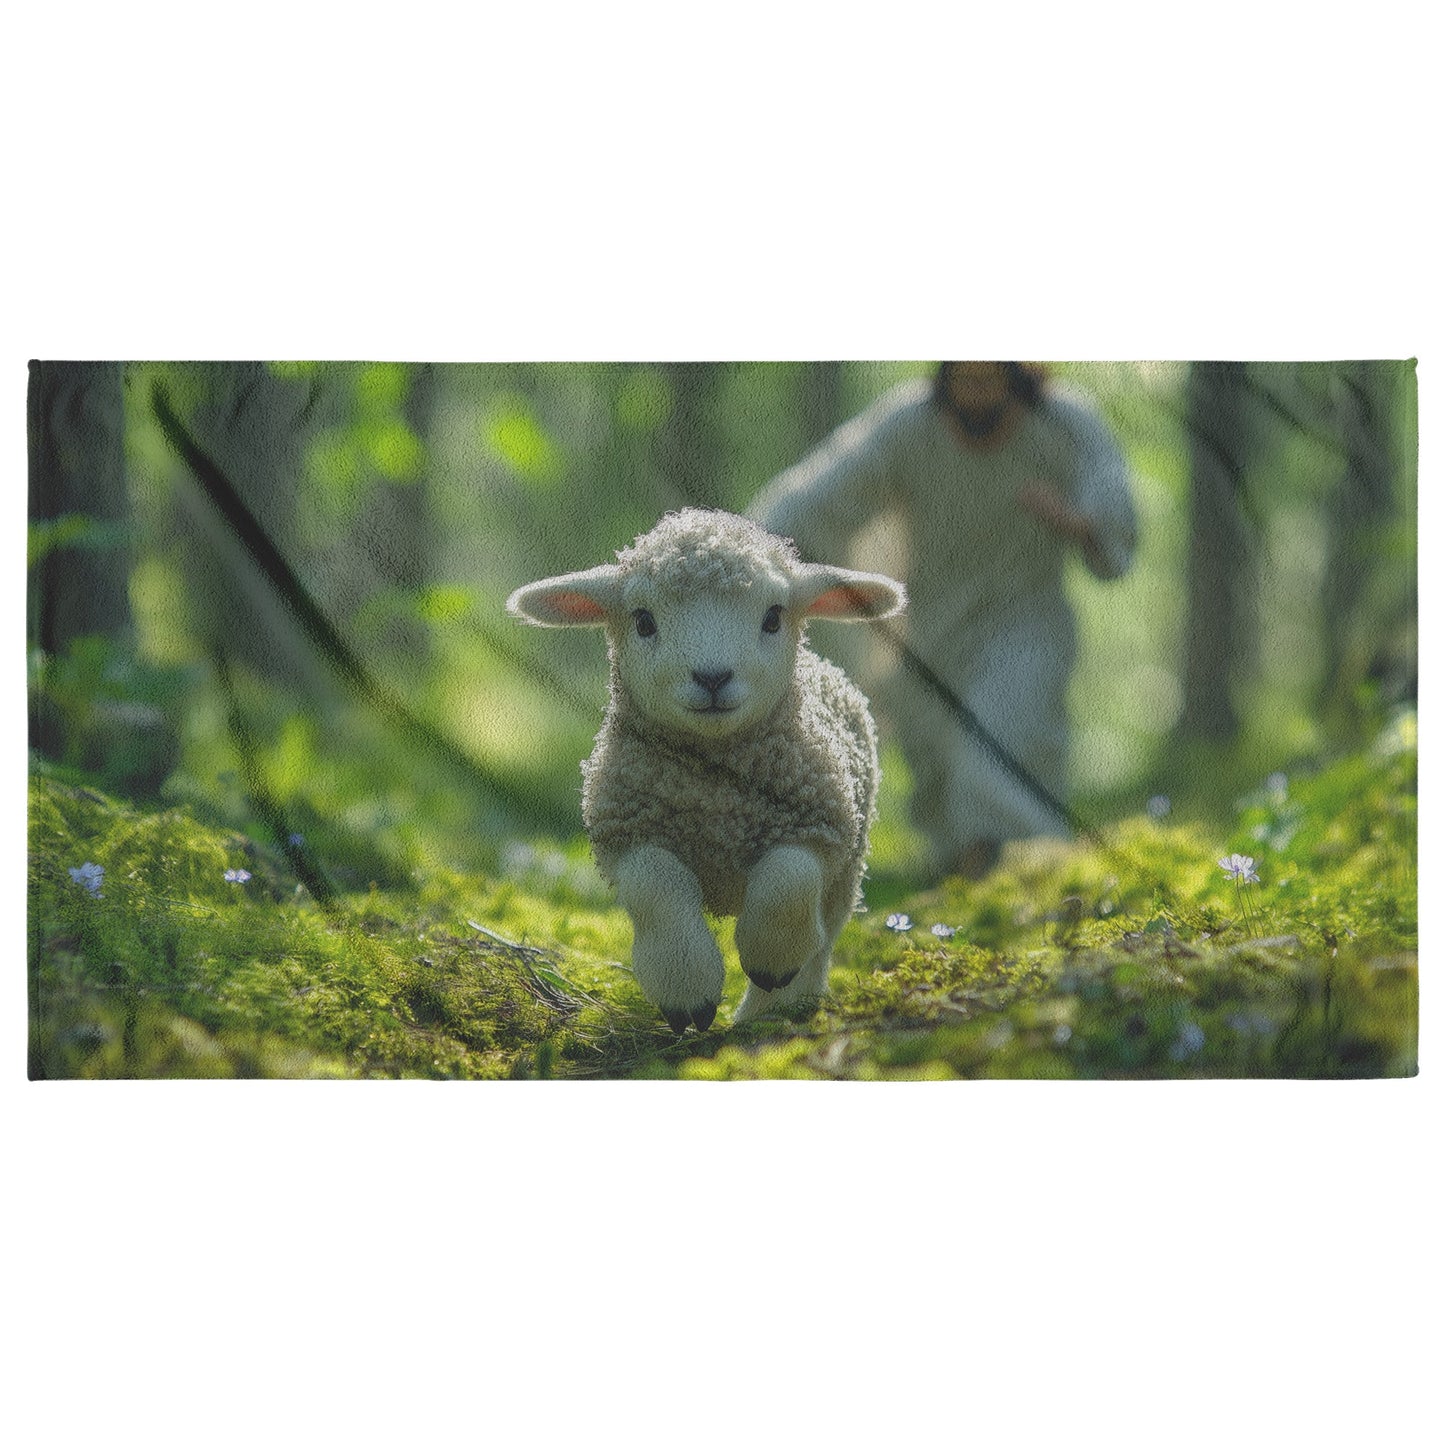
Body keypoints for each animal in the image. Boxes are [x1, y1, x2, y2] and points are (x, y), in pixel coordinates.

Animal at [506, 508, 906, 1032]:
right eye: (643, 620)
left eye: (773, 617)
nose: (712, 677)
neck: (716, 803)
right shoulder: (628, 835)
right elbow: (657, 886)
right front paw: (686, 990)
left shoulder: (820, 824)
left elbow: (789, 878)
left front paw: (770, 959)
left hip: (851, 860)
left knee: (823, 937)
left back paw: (774, 1011)